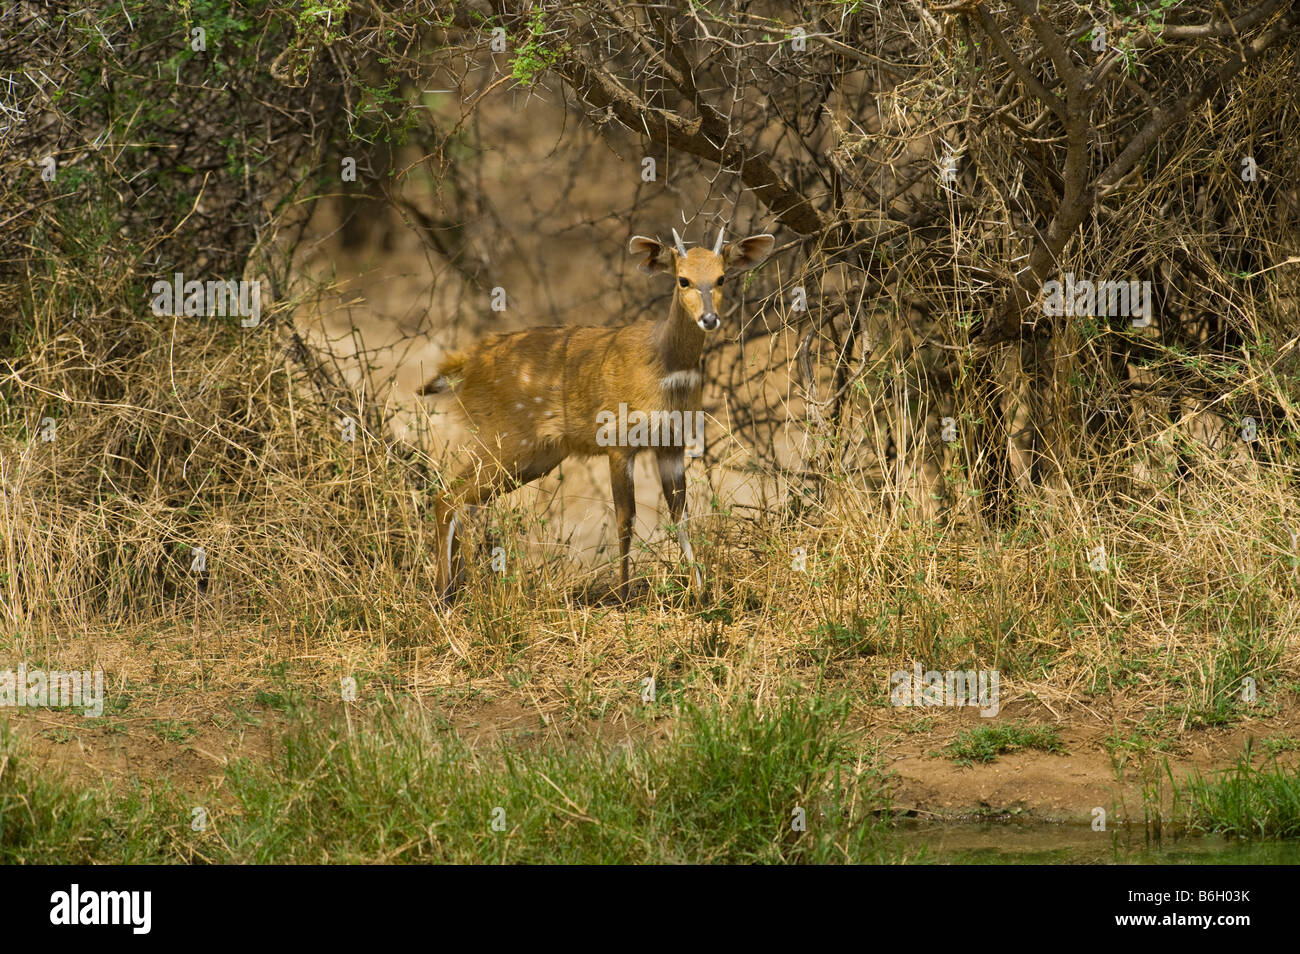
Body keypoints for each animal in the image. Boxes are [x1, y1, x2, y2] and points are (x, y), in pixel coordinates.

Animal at [420, 226, 775, 600]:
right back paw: (443, 595)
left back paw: (456, 590)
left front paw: (700, 592)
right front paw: (624, 596)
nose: (709, 318)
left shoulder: (671, 443)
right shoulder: (619, 441)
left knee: (465, 502)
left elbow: (680, 514)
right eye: (683, 280)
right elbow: (625, 518)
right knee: (448, 497)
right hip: (506, 439)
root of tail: (465, 366)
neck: (664, 367)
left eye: (721, 278)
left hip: (535, 457)